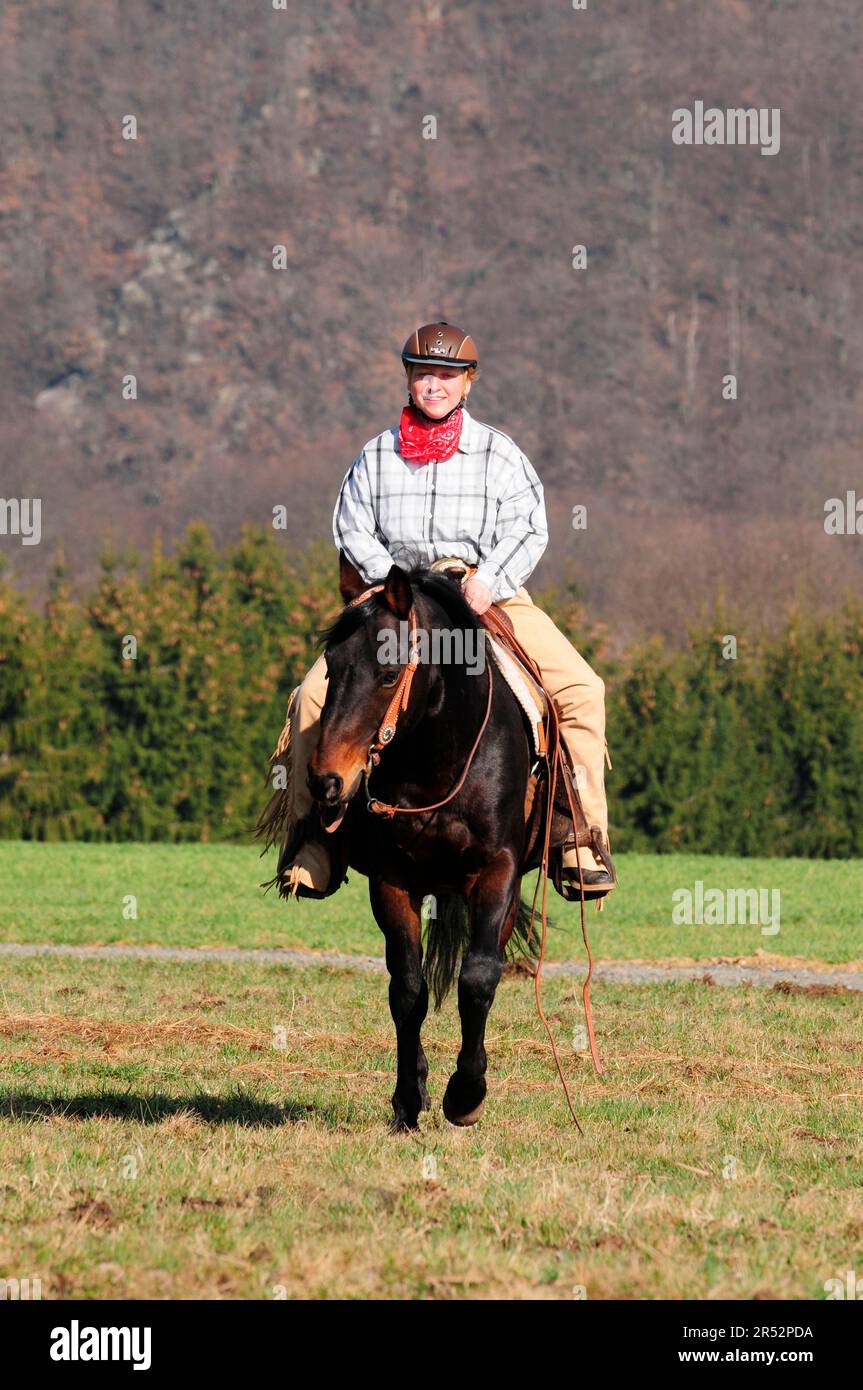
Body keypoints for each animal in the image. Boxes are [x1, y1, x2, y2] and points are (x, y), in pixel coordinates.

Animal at [269, 554, 583, 1132]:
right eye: (332, 666)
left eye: (389, 673)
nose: (327, 782)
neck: (438, 758)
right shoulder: (393, 881)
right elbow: (408, 989)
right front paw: (408, 1099)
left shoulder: (496, 871)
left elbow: (478, 977)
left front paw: (465, 1095)